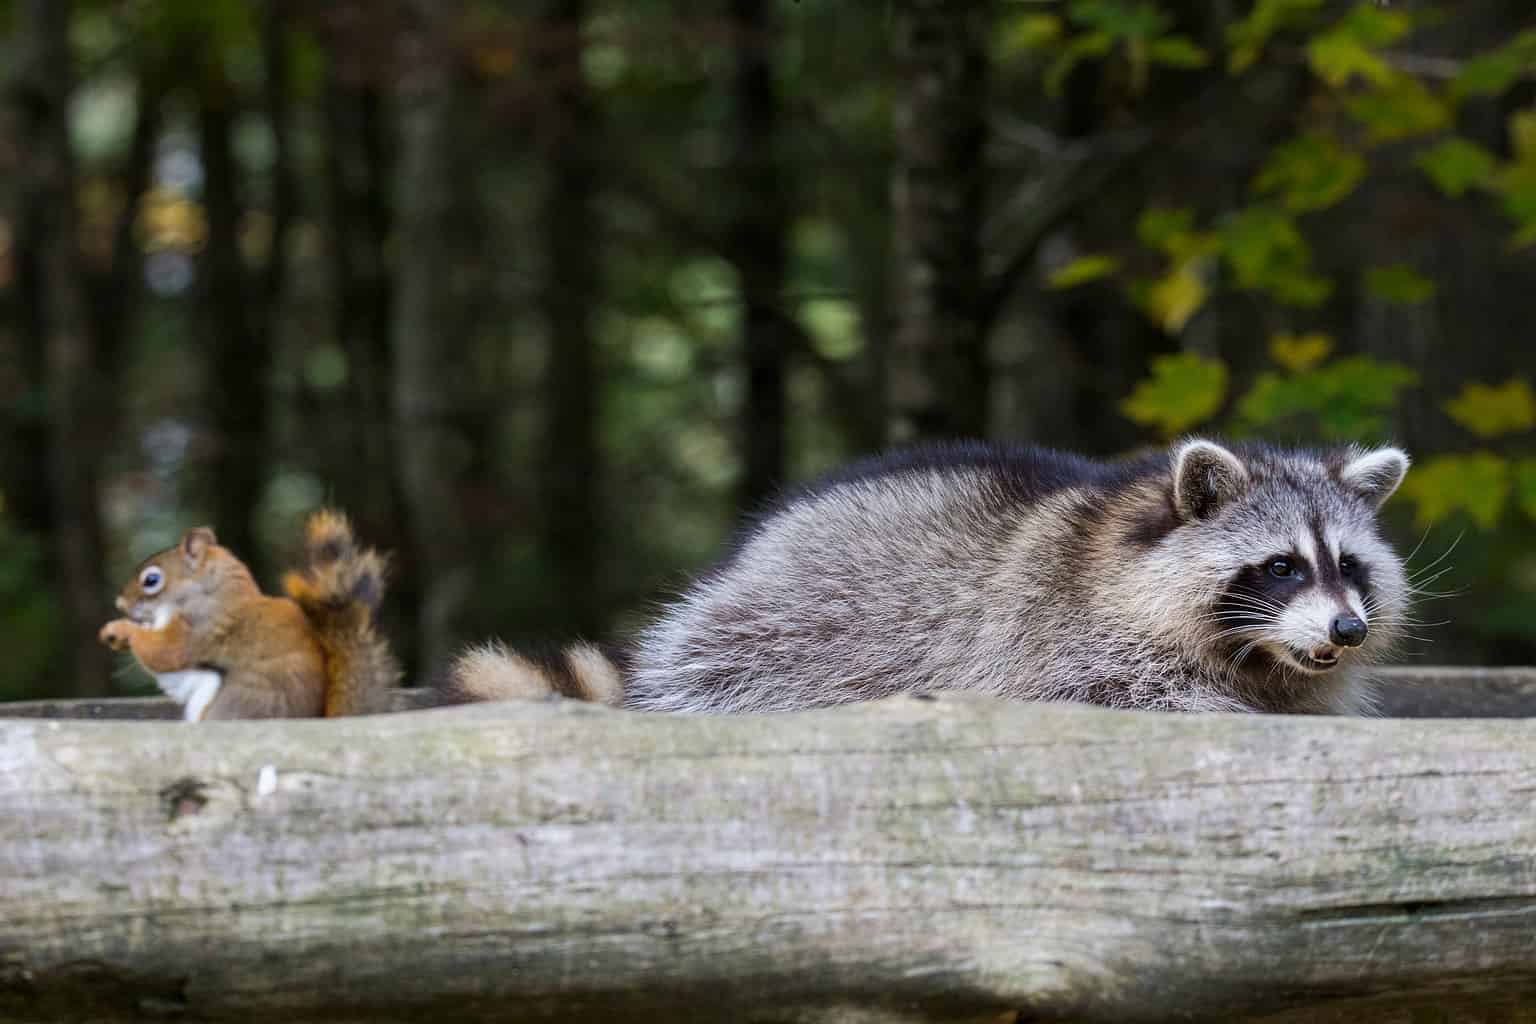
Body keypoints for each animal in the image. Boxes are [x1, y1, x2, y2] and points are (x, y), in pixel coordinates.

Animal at [448, 438, 1412, 716]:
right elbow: (1121, 693)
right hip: (778, 630)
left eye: (1349, 568)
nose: (1348, 630)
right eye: (1281, 567)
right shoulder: (1060, 641)